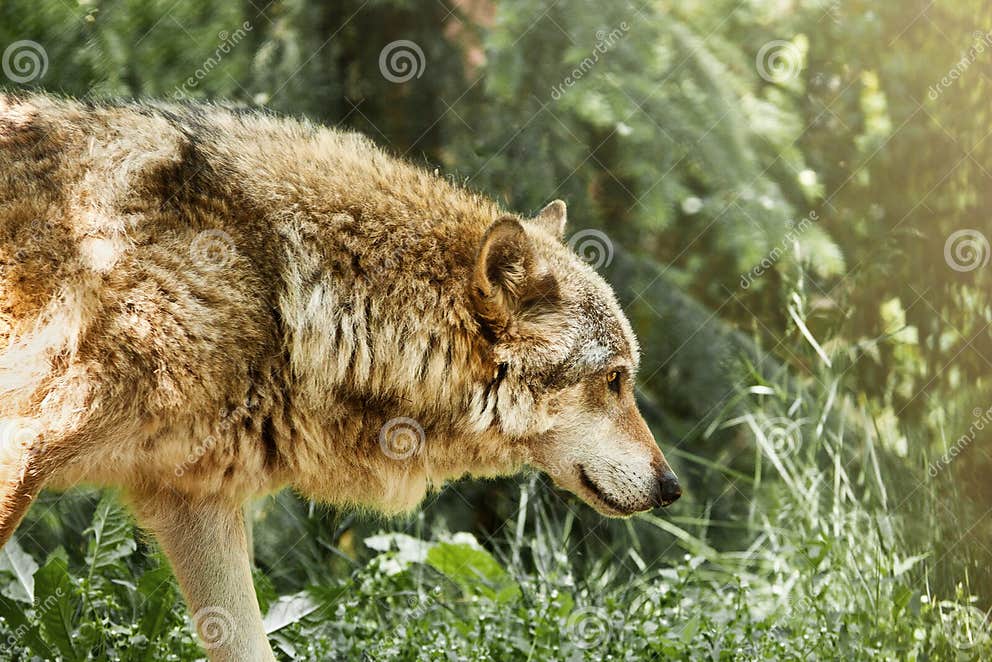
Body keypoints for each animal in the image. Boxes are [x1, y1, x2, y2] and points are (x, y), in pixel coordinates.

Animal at [0, 92, 681, 660]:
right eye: (615, 380)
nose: (671, 487)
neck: (281, 286)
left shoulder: (191, 499)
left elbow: (250, 646)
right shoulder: (23, 449)